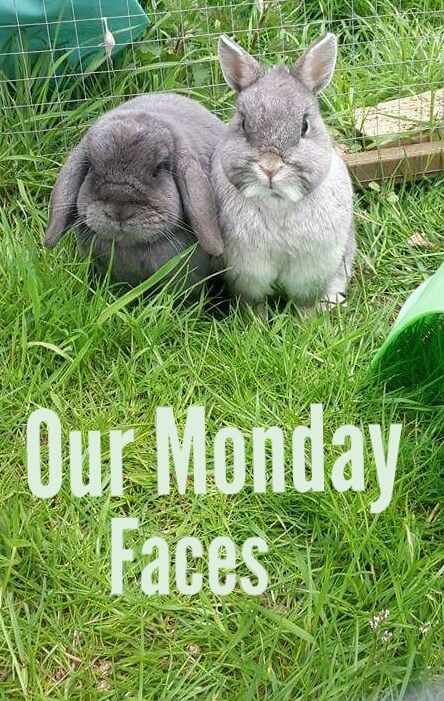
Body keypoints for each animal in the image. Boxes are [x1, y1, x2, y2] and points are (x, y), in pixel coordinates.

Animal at [211, 33, 355, 317]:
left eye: (304, 126)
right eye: (242, 124)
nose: (270, 167)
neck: (277, 200)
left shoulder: (312, 268)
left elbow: (304, 301)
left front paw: (307, 321)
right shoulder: (247, 269)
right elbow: (253, 302)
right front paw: (255, 323)